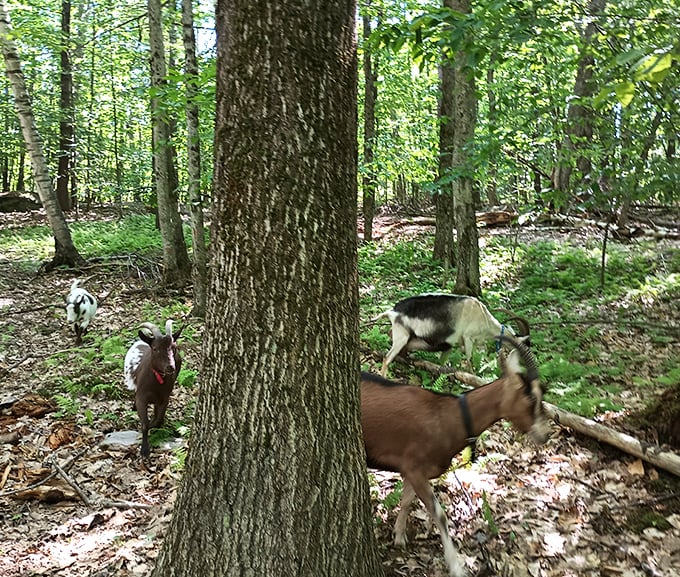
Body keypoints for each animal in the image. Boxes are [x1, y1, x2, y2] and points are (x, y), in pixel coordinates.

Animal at [124, 320, 183, 458]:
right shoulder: (142, 398)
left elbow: (158, 420)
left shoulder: (164, 399)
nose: (170, 367)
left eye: (174, 347)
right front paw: (144, 450)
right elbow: (145, 424)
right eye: (155, 349)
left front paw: (153, 428)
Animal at [361, 335, 551, 577]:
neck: (450, 417)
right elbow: (440, 515)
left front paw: (399, 537)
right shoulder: (415, 468)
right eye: (530, 398)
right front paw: (456, 566)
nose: (545, 434)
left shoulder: (410, 470)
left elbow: (406, 502)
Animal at [376, 293, 527, 376]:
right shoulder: (468, 338)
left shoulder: (452, 344)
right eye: (525, 345)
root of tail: (392, 311)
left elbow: (441, 362)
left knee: (391, 336)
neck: (483, 316)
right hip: (401, 336)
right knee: (387, 358)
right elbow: (469, 360)